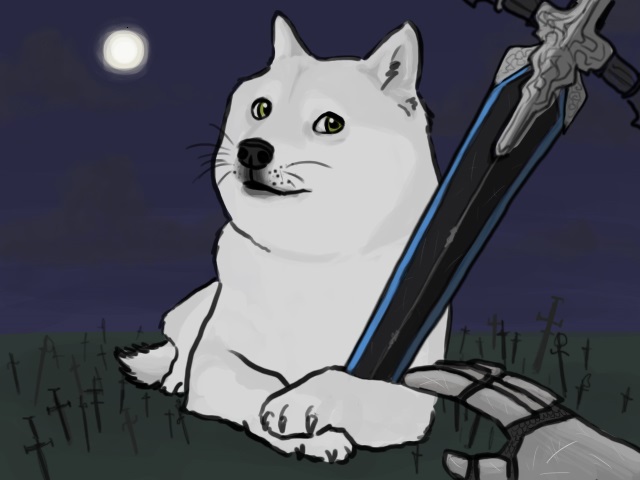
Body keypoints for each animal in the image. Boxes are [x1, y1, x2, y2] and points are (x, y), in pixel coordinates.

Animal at [116, 13, 450, 463]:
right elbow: (260, 387)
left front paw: (305, 405)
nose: (252, 150)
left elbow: (353, 386)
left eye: (331, 123)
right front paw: (310, 434)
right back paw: (174, 378)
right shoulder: (218, 358)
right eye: (262, 108)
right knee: (178, 350)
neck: (308, 261)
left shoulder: (412, 396)